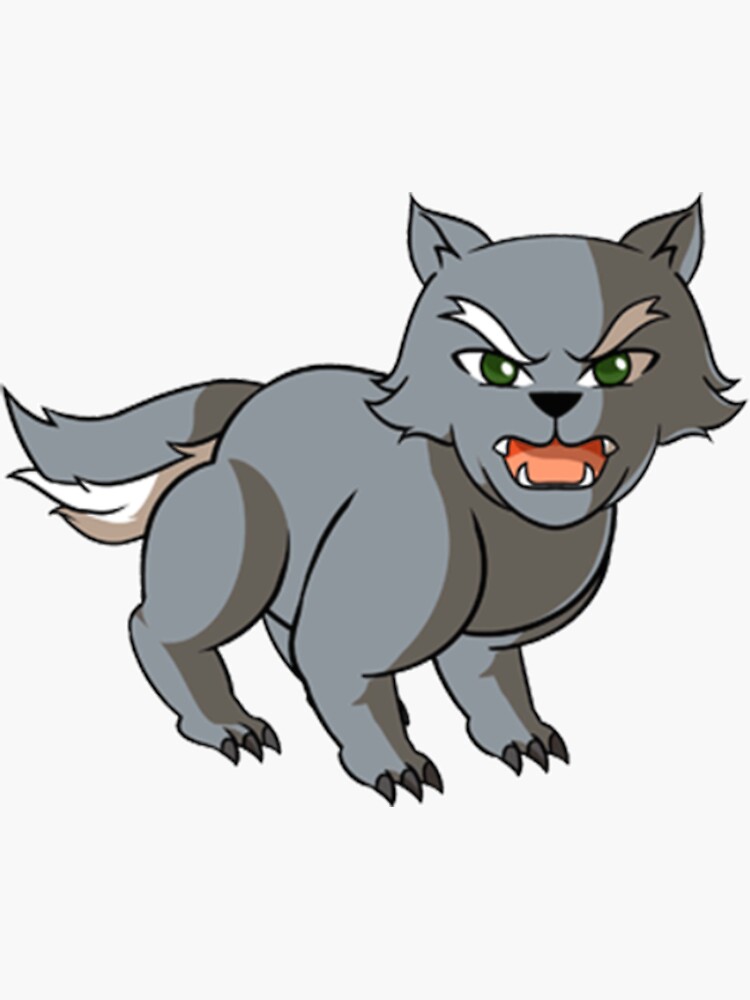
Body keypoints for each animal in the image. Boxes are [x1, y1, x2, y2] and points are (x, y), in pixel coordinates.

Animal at [6, 198, 742, 804]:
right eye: (493, 368)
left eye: (617, 368)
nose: (556, 400)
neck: (514, 531)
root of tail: (247, 400)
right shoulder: (365, 610)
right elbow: (355, 686)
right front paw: (393, 765)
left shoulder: (485, 639)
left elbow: (493, 686)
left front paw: (519, 737)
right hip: (240, 538)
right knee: (158, 627)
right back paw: (227, 726)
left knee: (284, 636)